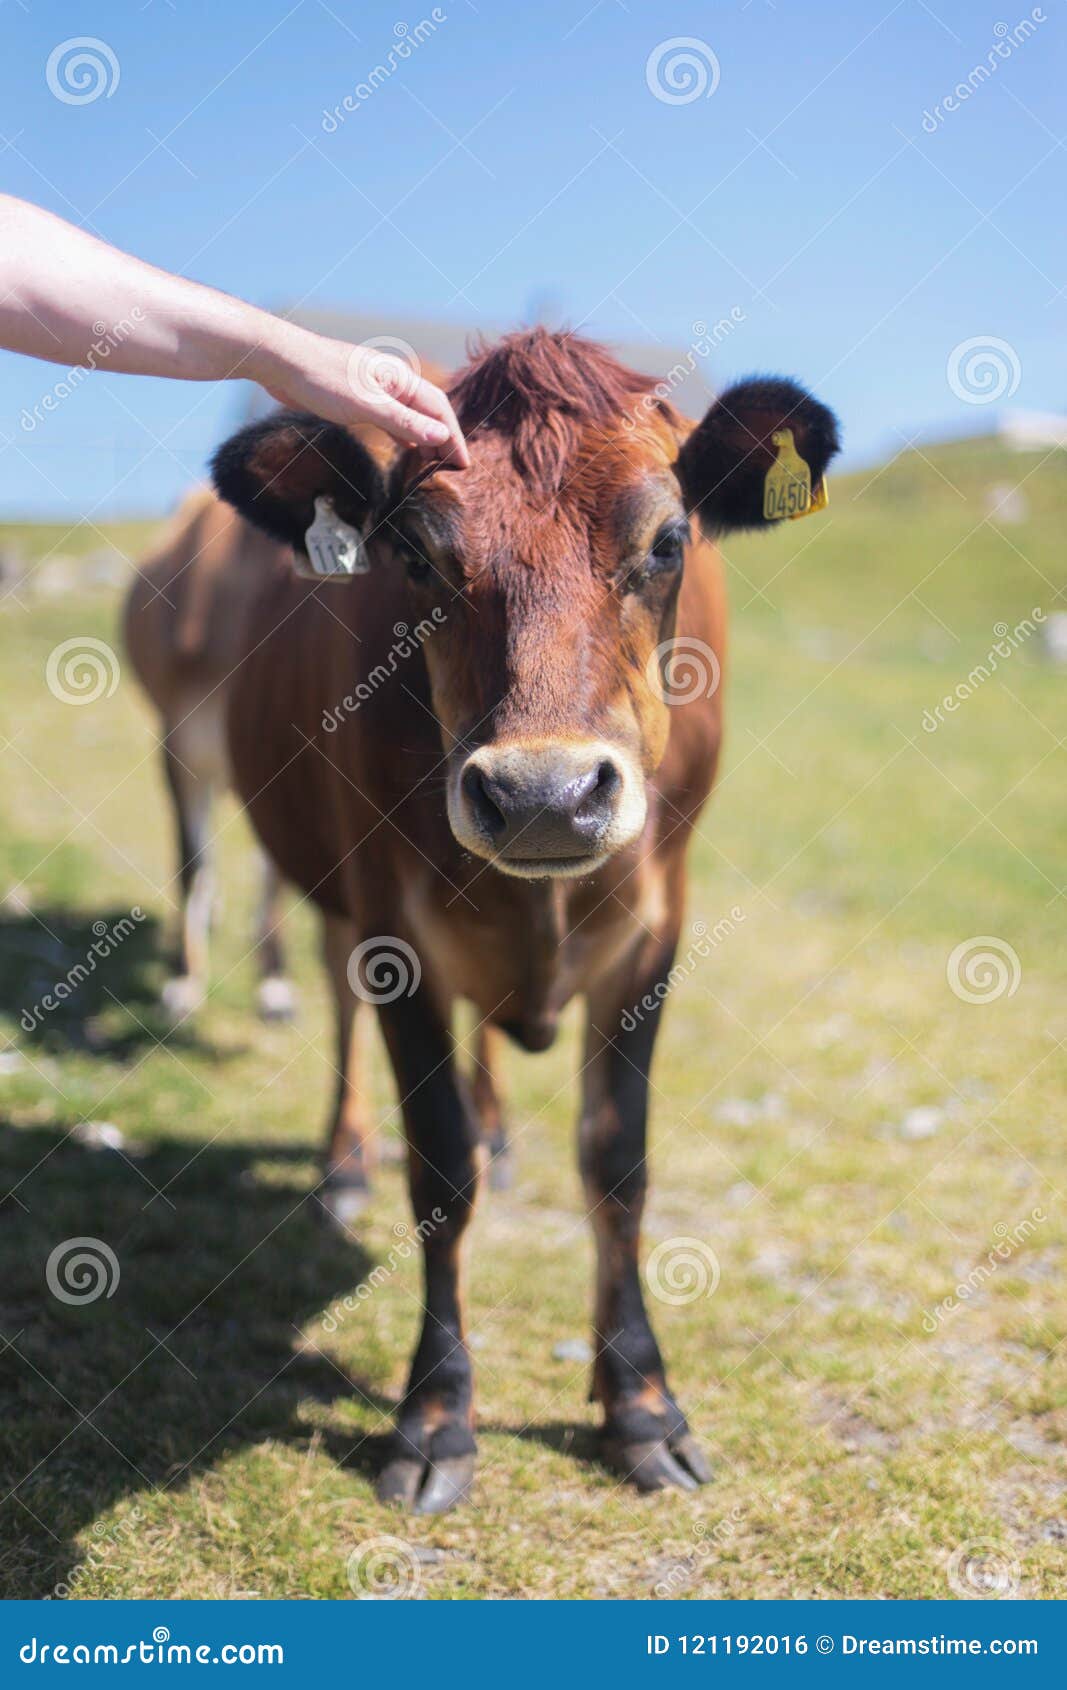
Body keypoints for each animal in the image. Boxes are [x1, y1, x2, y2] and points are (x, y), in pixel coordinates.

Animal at [210, 328, 839, 1513]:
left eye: (667, 540)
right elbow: (437, 1167)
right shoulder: (391, 931)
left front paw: (641, 1404)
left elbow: (616, 1159)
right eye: (414, 556)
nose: (544, 795)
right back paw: (343, 1165)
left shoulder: (654, 929)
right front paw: (435, 1415)